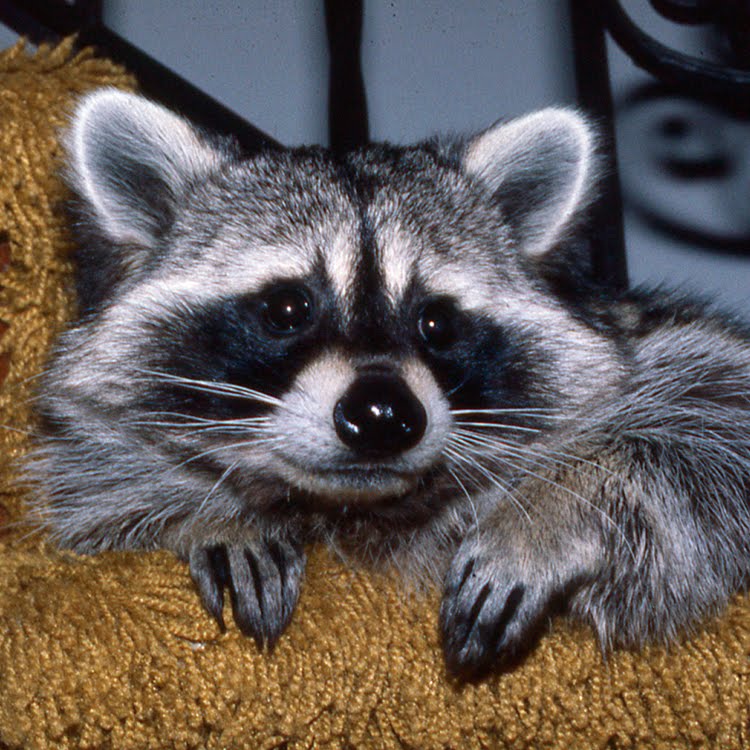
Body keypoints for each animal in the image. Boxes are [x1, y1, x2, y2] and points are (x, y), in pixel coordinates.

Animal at [31, 88, 750, 677]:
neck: (353, 508)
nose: (383, 414)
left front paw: (553, 512)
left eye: (438, 321)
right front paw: (205, 511)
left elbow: (709, 417)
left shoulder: (654, 347)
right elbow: (96, 485)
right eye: (288, 308)